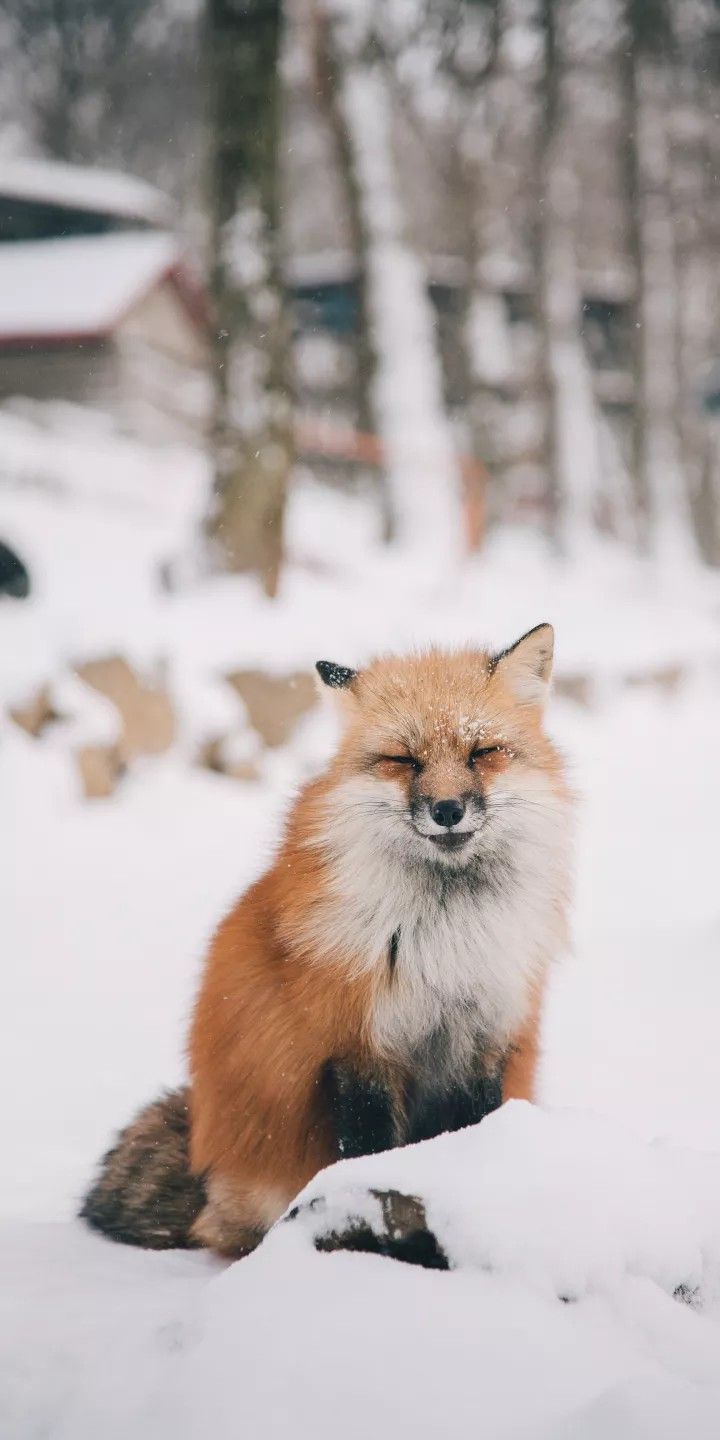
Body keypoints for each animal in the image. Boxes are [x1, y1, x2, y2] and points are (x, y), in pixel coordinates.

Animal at [82, 626, 574, 1257]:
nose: (447, 810)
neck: (443, 939)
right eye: (402, 760)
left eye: (481, 752)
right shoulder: (356, 1048)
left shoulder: (485, 1039)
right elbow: (369, 1158)